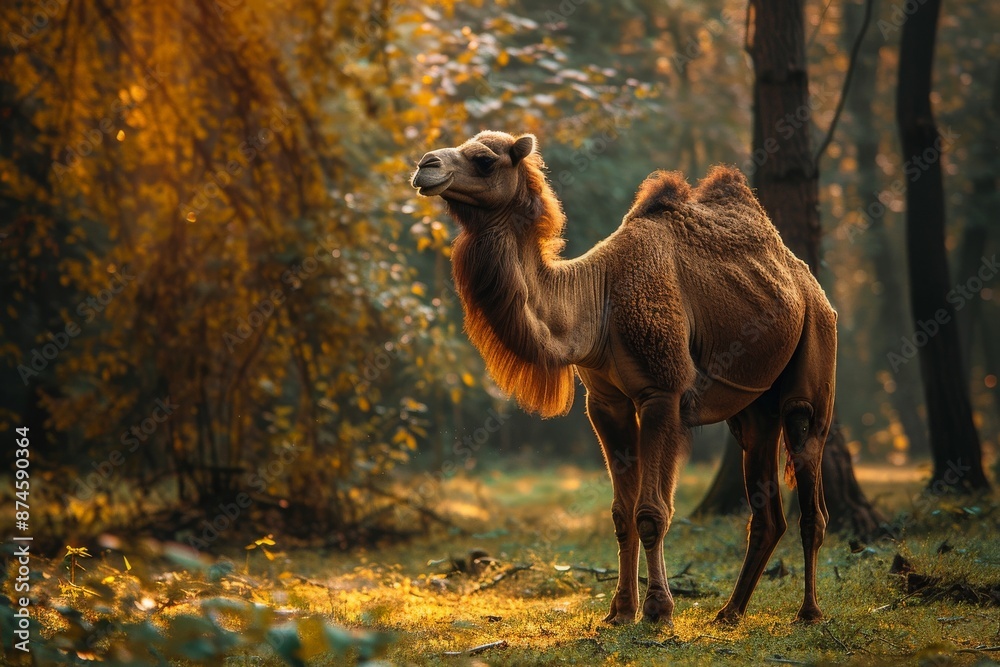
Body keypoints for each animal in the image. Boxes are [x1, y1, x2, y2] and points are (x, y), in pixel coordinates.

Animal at [411, 131, 837, 626]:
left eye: (482, 159)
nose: (425, 166)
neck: (596, 297)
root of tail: (808, 282)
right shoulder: (605, 402)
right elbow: (621, 514)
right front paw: (619, 611)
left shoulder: (662, 392)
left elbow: (652, 512)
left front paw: (657, 610)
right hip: (754, 408)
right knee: (765, 504)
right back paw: (729, 613)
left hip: (814, 355)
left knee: (810, 479)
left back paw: (809, 611)